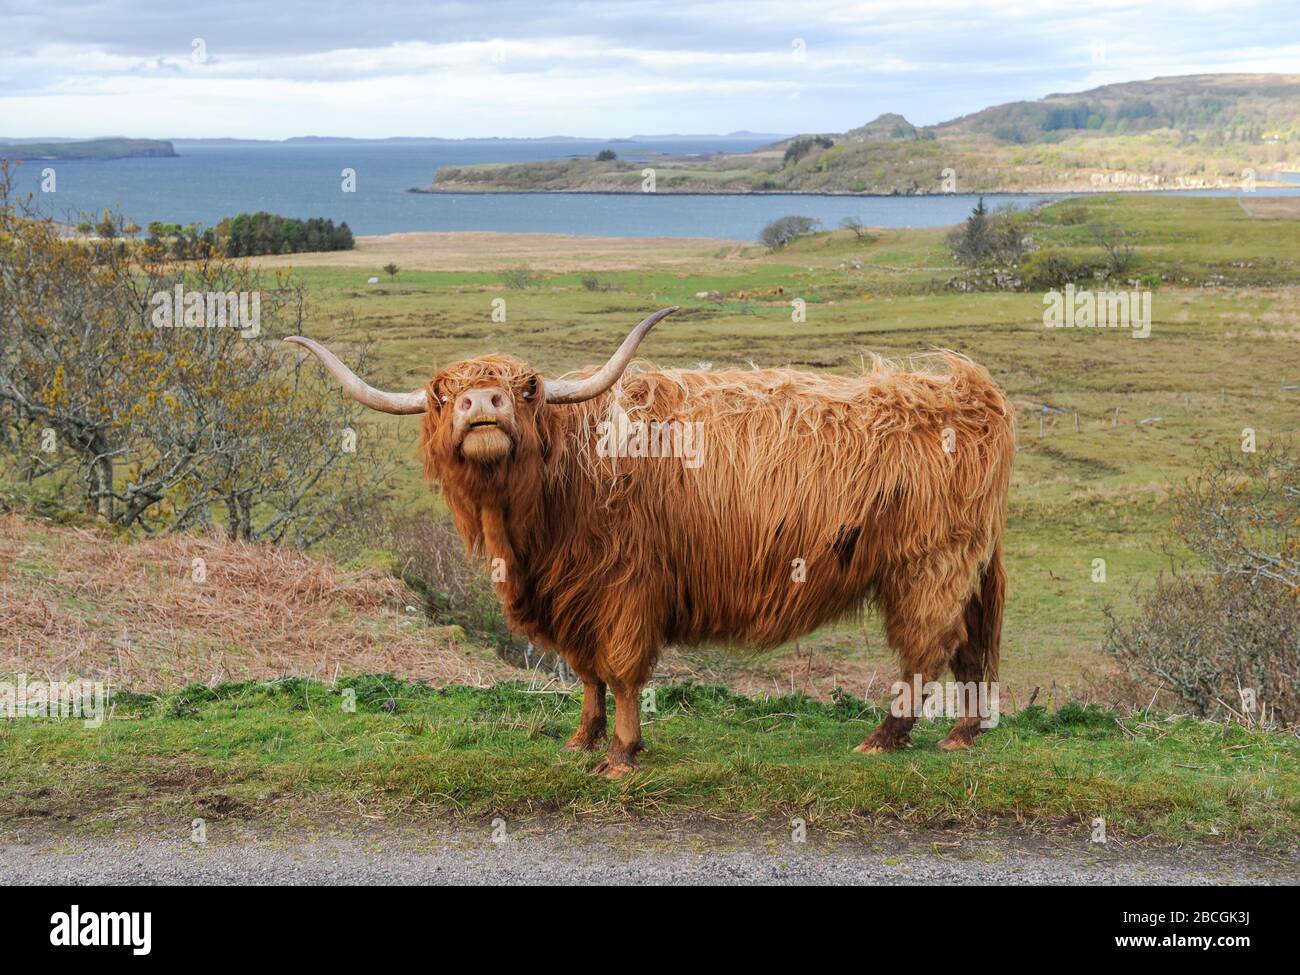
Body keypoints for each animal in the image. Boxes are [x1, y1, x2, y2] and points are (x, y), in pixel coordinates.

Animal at [286, 307, 1015, 777]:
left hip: (927, 567)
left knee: (926, 650)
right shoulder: (569, 598)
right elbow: (585, 673)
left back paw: (884, 738)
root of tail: (969, 390)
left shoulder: (625, 588)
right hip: (965, 567)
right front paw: (581, 740)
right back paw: (962, 734)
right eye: (441, 394)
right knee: (972, 645)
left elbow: (622, 670)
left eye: (528, 388)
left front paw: (622, 755)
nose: (484, 403)